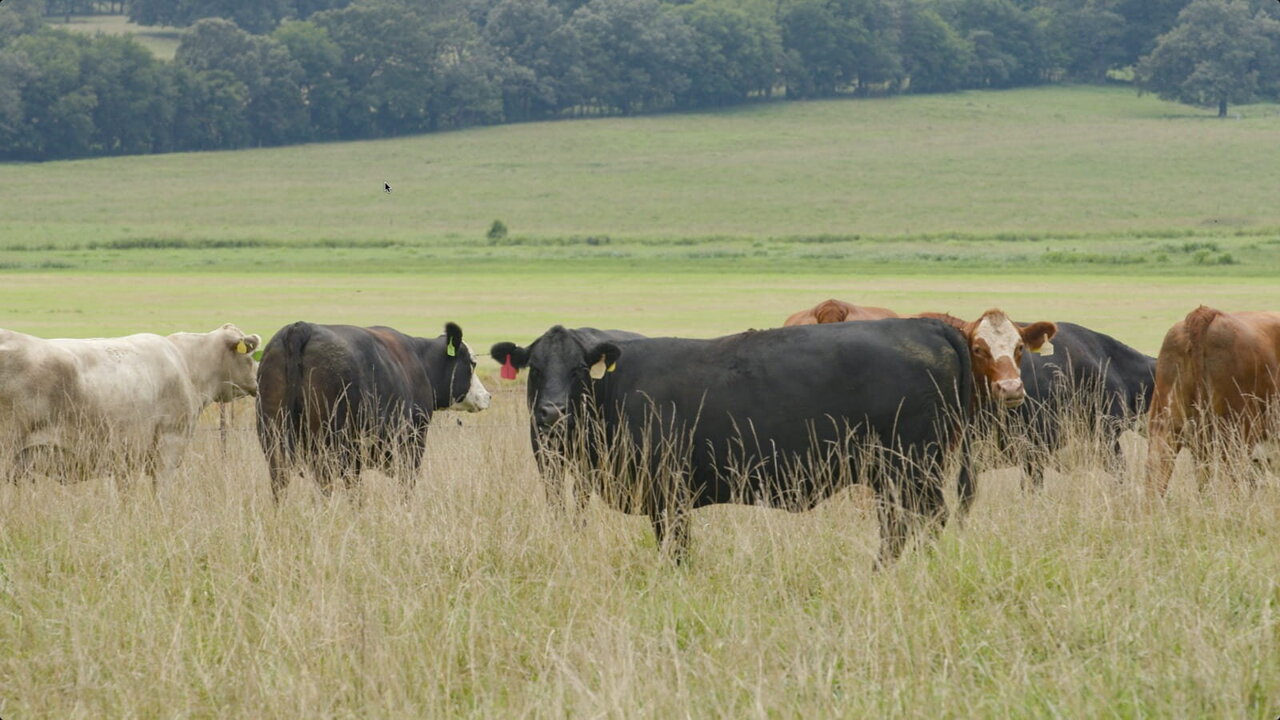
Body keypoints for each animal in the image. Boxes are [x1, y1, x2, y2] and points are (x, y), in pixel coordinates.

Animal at [255, 322, 490, 500]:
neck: (420, 361)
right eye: (473, 363)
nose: (487, 396)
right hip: (333, 449)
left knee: (280, 486)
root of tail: (301, 327)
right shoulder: (413, 444)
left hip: (275, 443)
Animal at [490, 325, 646, 513]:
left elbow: (580, 497)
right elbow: (555, 494)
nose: (553, 412)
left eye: (579, 368)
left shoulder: (588, 459)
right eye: (534, 368)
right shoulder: (543, 451)